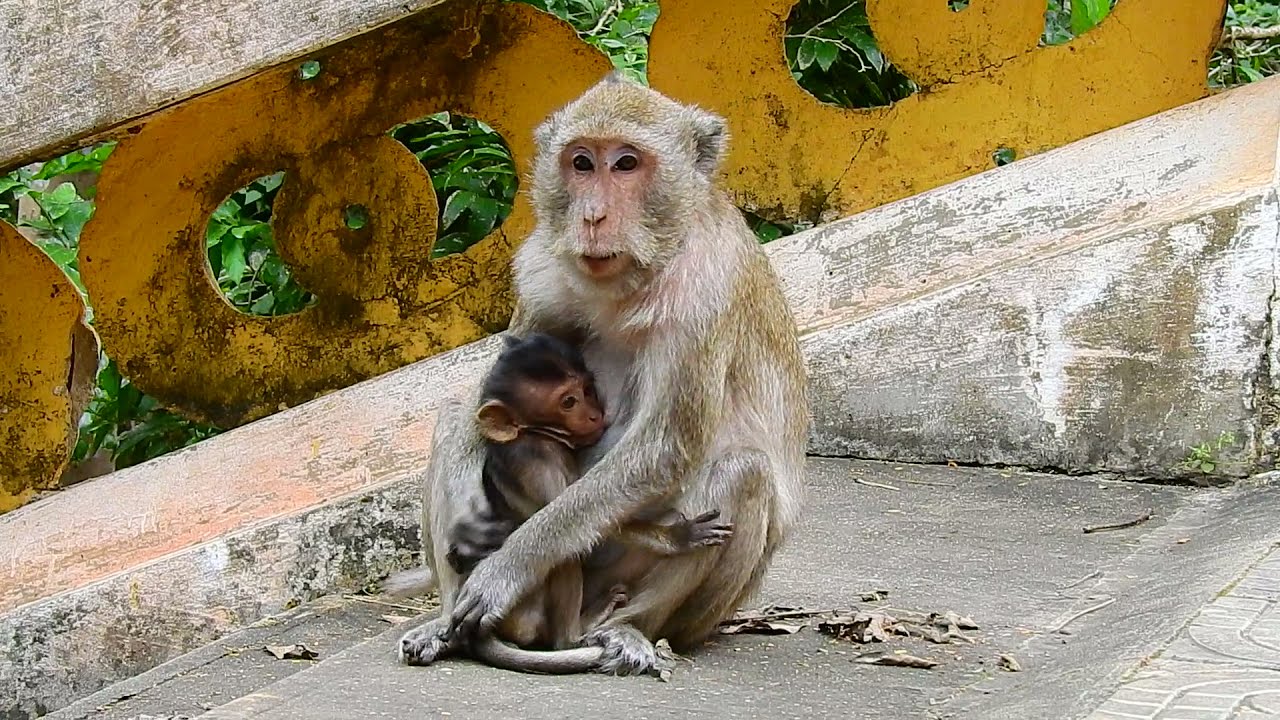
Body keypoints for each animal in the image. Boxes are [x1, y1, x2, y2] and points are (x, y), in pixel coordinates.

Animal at [397, 70, 809, 676]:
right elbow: (480, 405)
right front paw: (472, 523)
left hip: (671, 603)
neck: (638, 275)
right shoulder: (541, 270)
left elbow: (666, 447)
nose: (592, 216)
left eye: (627, 163)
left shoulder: (707, 289)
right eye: (582, 163)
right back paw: (446, 629)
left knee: (743, 472)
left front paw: (505, 569)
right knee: (453, 417)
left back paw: (625, 631)